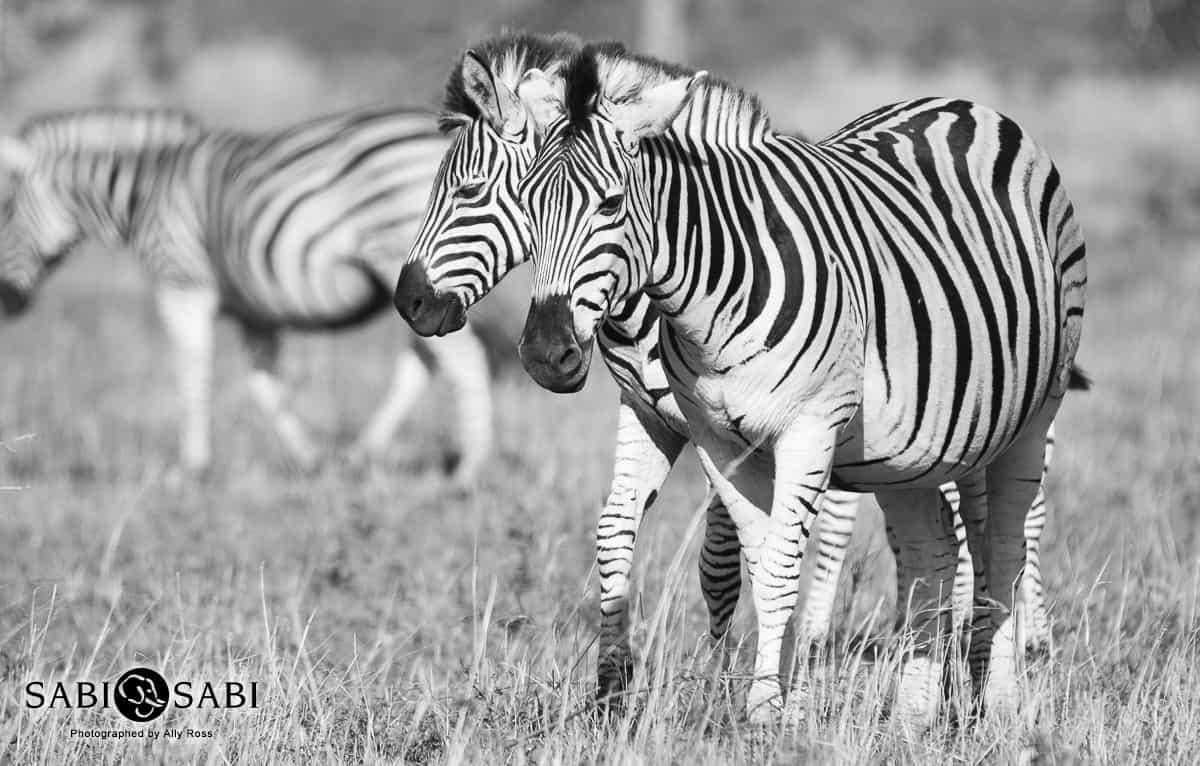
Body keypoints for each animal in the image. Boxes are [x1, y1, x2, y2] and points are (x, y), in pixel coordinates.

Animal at [0, 107, 492, 480]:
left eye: (3, 210)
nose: (6, 303)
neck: (147, 187)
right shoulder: (253, 309)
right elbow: (264, 385)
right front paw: (309, 457)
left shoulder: (182, 282)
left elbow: (192, 368)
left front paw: (190, 468)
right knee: (424, 361)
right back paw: (361, 452)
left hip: (408, 260)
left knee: (463, 358)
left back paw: (471, 466)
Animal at [393, 35, 1081, 703]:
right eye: (529, 204)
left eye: (471, 192)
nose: (409, 301)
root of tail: (961, 104)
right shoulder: (660, 416)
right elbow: (622, 532)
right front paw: (616, 688)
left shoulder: (777, 433)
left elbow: (728, 562)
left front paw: (733, 687)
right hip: (923, 435)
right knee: (944, 533)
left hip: (1025, 411)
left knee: (1007, 532)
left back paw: (1010, 673)